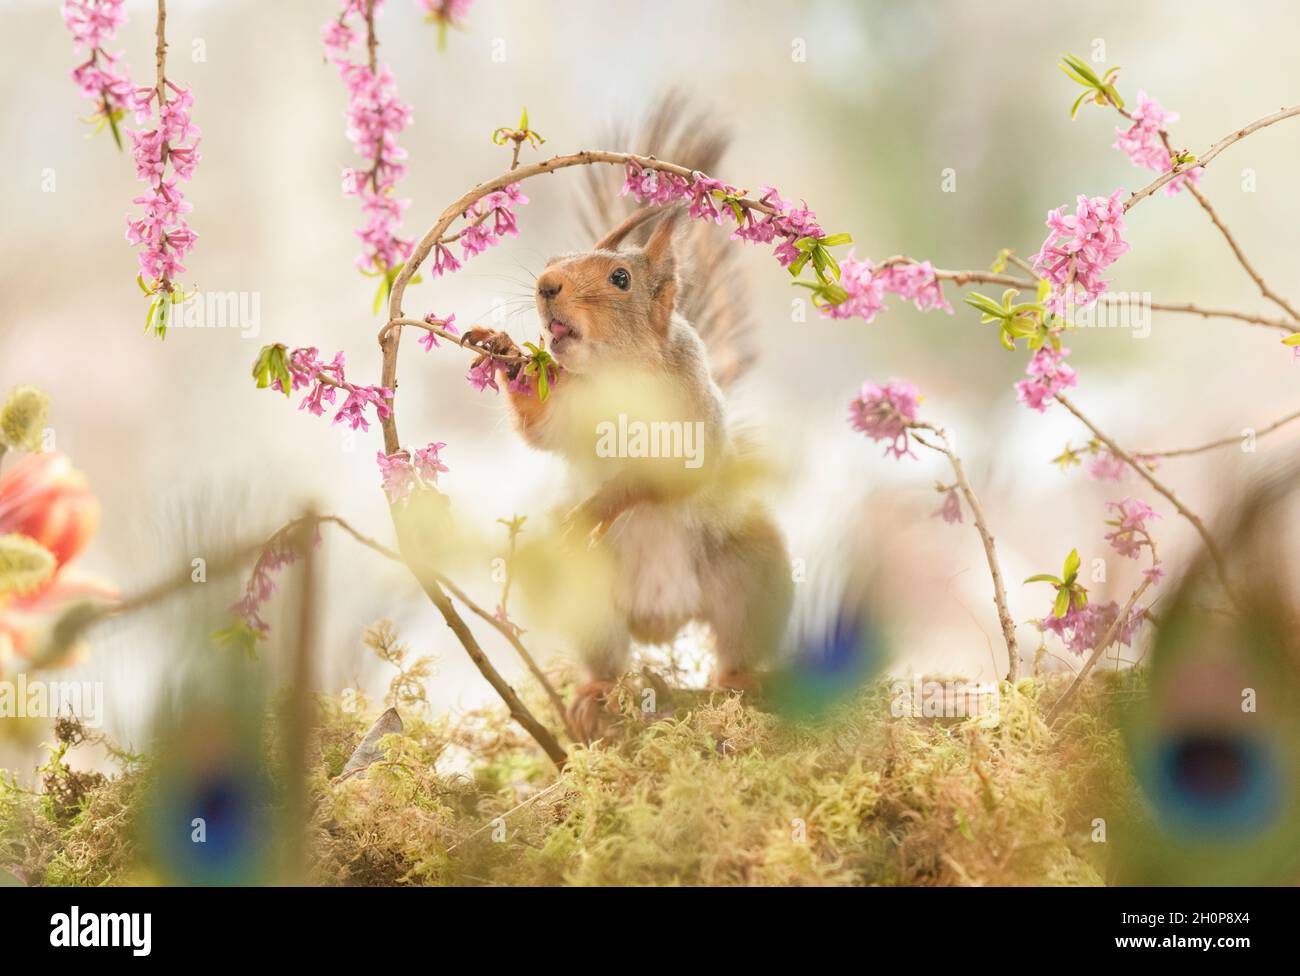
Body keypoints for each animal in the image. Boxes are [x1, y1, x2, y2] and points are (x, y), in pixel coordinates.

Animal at [465, 98, 793, 740]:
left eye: (621, 279)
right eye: (551, 263)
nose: (546, 286)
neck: (620, 374)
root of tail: (663, 616)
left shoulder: (692, 421)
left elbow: (665, 475)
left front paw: (601, 505)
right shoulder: (573, 407)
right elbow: (540, 426)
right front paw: (505, 353)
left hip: (751, 569)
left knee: (735, 643)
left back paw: (740, 682)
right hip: (587, 592)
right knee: (606, 658)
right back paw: (595, 695)